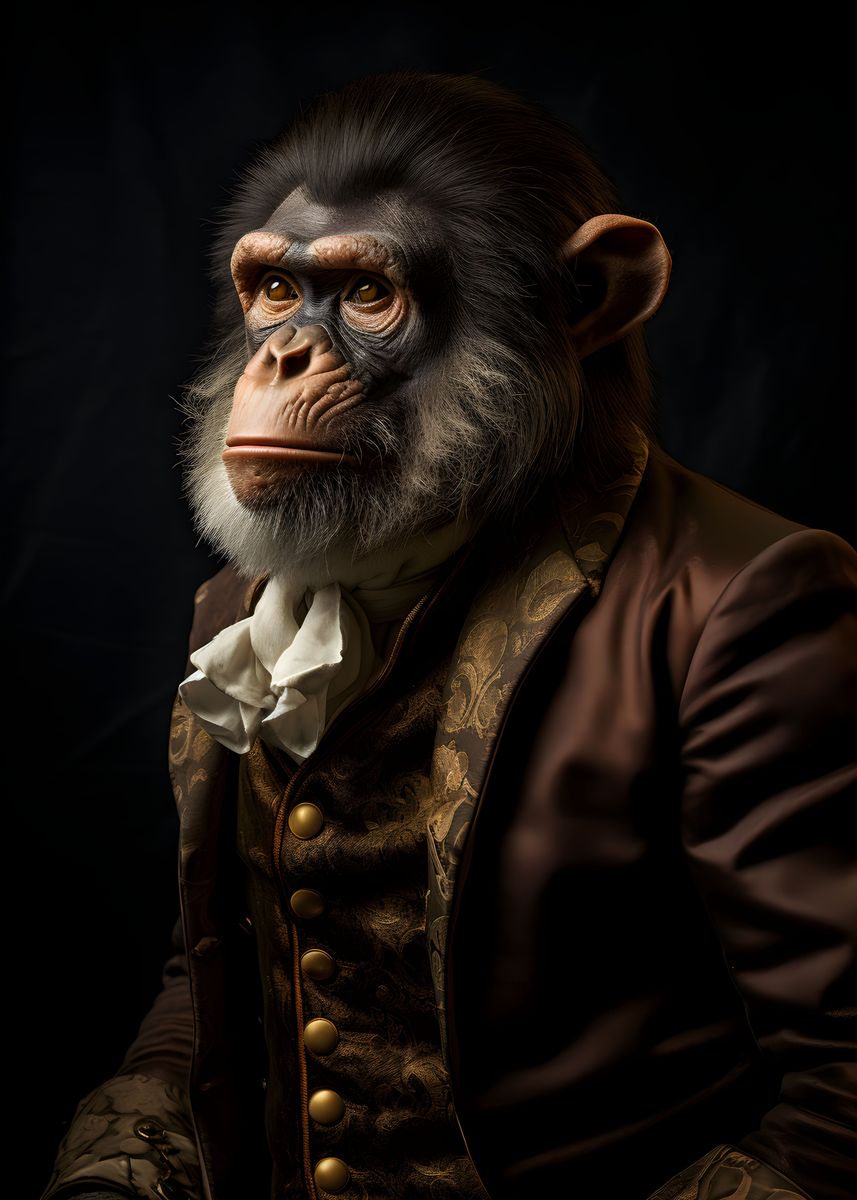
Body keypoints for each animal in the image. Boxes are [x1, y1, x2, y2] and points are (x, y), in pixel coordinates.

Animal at [41, 70, 857, 1200]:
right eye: (278, 290)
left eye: (365, 295)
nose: (283, 353)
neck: (394, 578)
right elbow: (179, 990)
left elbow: (827, 1053)